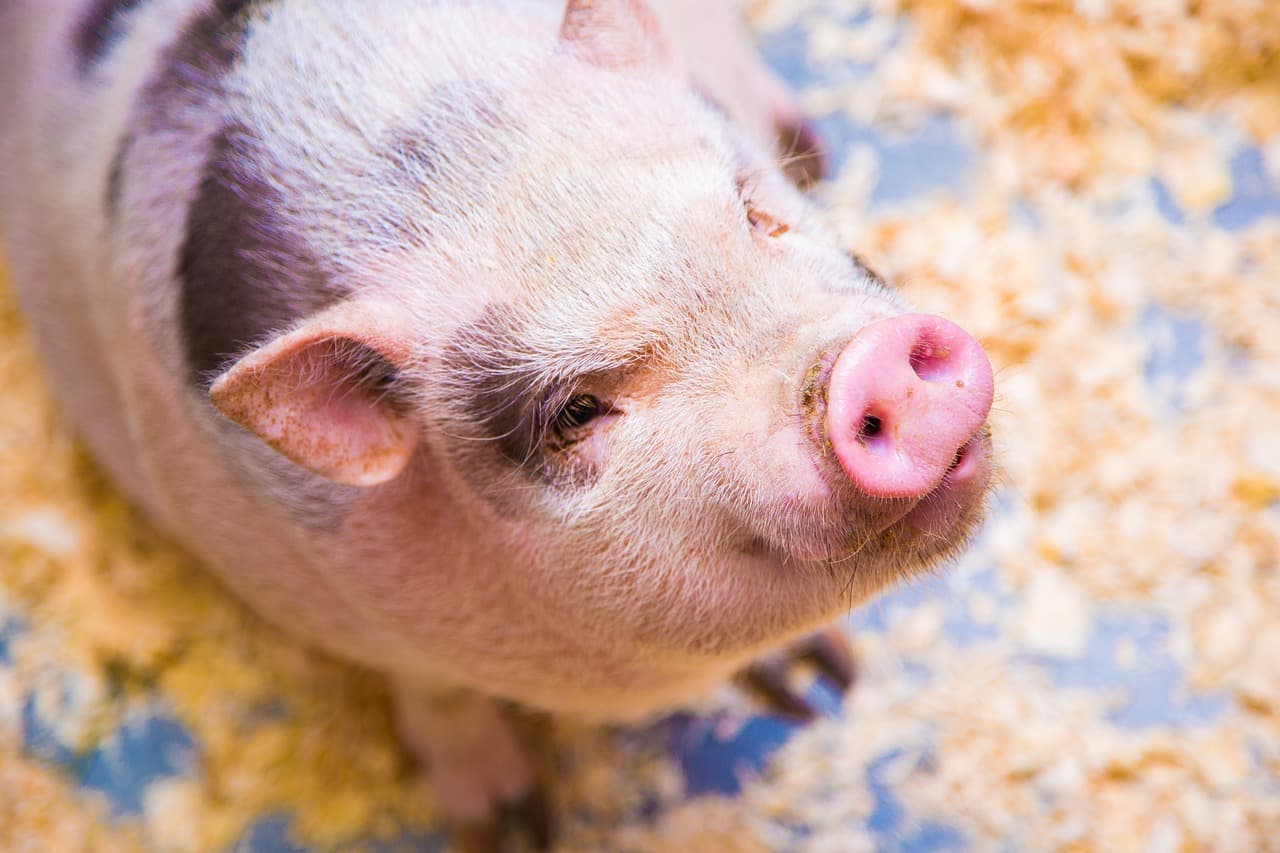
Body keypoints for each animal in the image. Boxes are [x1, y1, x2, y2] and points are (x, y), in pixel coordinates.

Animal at [0, 0, 996, 847]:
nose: (876, 363)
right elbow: (434, 694)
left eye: (756, 216)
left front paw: (830, 688)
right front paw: (514, 830)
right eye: (576, 411)